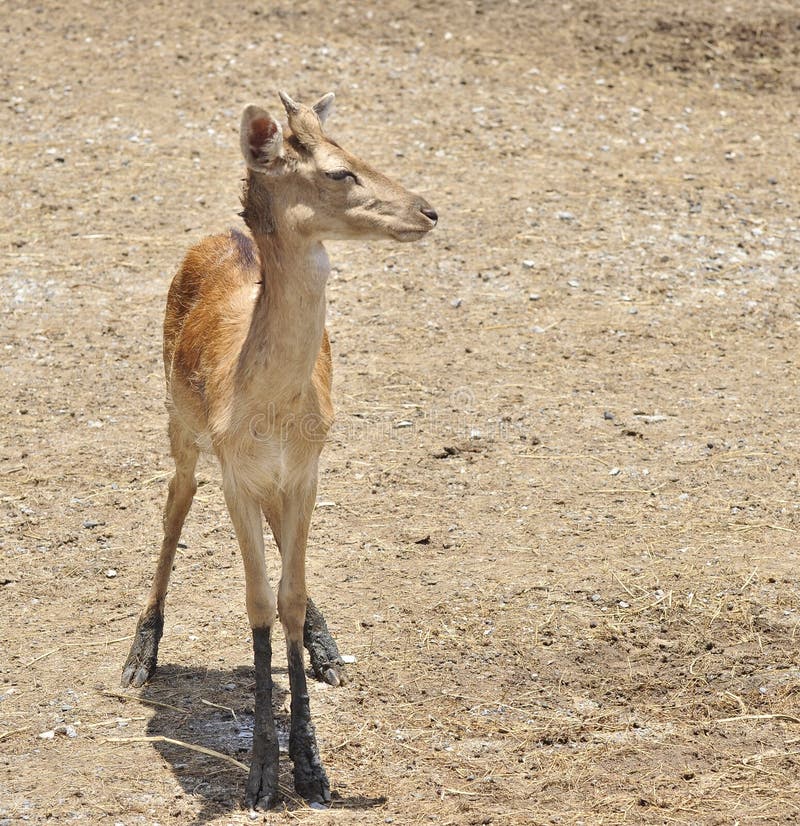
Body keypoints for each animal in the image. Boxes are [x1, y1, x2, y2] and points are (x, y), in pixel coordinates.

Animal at [120, 90, 437, 810]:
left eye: (356, 151)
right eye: (338, 172)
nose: (428, 210)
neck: (271, 408)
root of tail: (218, 238)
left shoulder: (307, 471)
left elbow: (289, 597)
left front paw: (313, 768)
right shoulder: (235, 474)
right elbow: (259, 603)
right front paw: (264, 776)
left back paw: (327, 649)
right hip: (180, 425)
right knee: (174, 504)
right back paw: (139, 656)